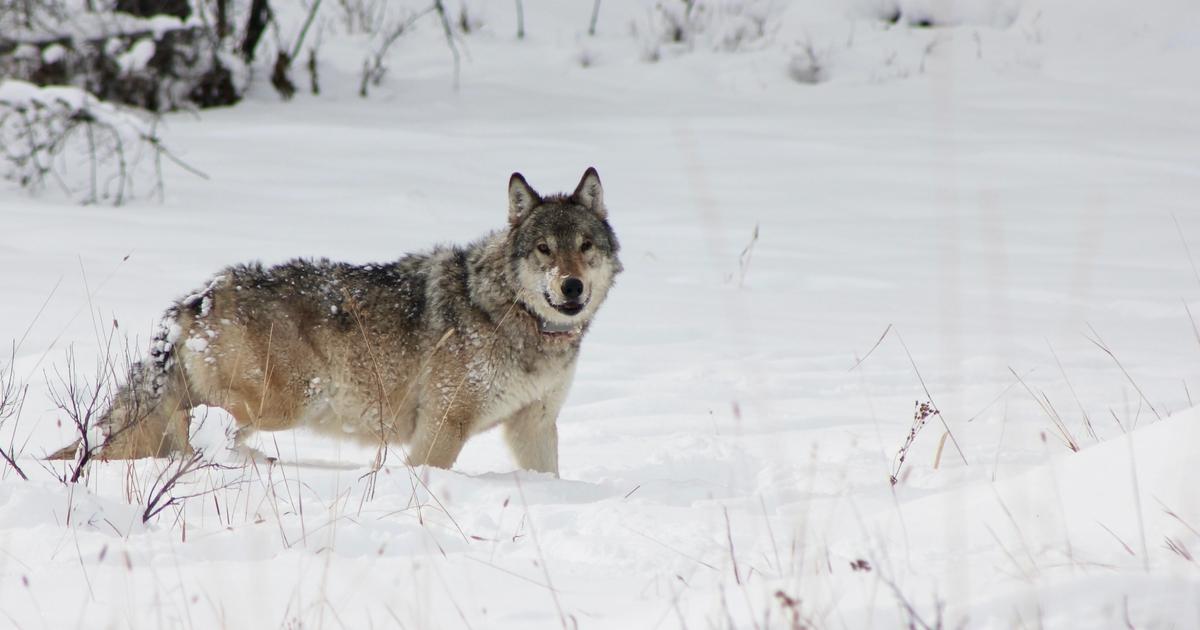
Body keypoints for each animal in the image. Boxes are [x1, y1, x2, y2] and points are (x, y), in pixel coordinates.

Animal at [49, 168, 621, 476]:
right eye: (544, 250)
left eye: (584, 247)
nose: (572, 287)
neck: (512, 315)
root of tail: (200, 298)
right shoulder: (444, 426)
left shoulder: (535, 425)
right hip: (288, 401)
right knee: (211, 433)